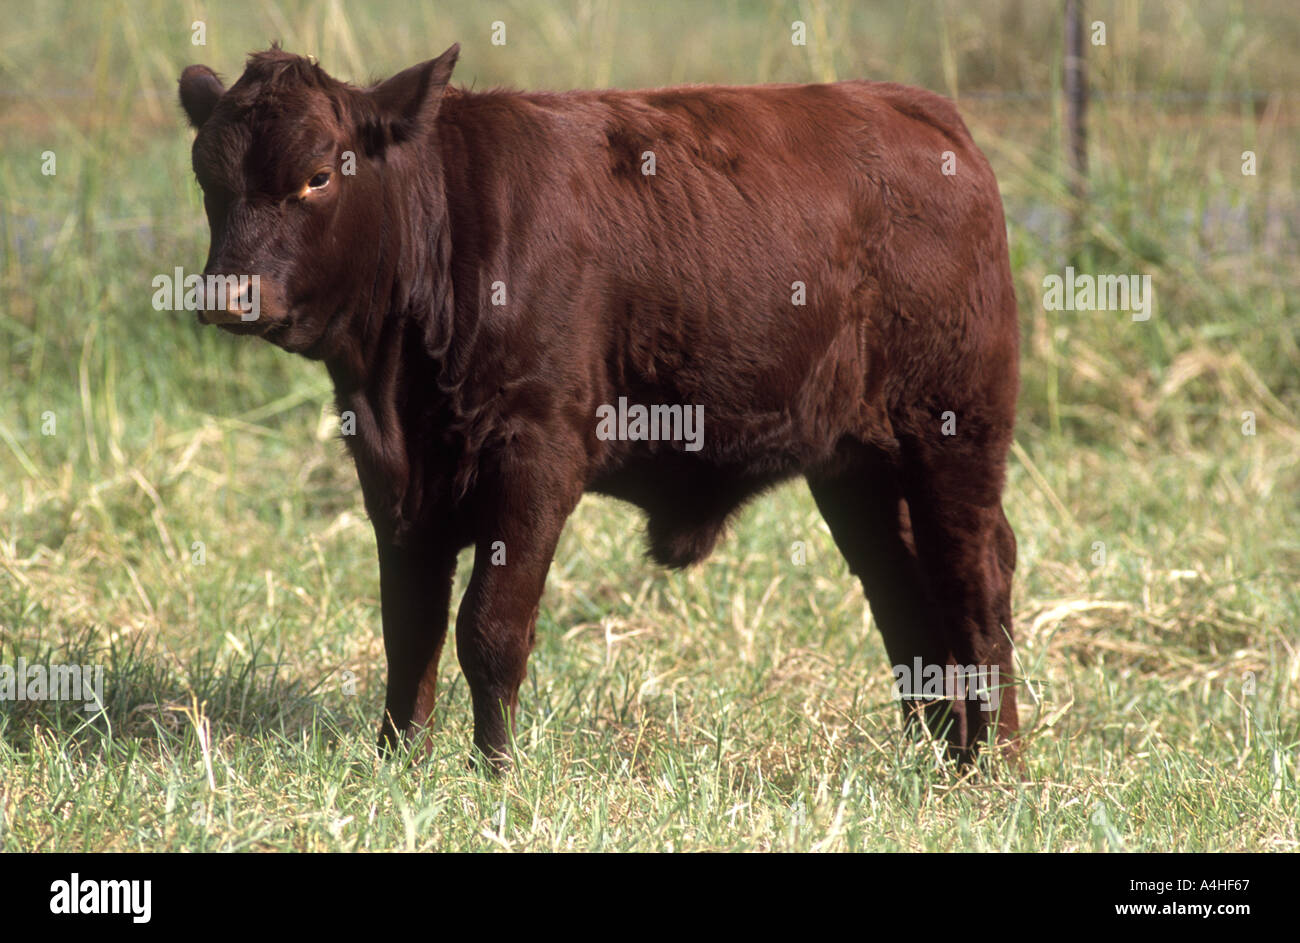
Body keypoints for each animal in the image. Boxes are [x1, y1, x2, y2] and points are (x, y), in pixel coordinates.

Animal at [178, 44, 1021, 770]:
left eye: (318, 176)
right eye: (208, 181)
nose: (228, 294)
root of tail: (914, 109)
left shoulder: (536, 455)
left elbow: (490, 627)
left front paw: (495, 771)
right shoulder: (394, 477)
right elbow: (408, 626)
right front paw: (398, 762)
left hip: (952, 433)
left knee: (976, 576)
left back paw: (993, 764)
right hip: (859, 466)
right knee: (903, 593)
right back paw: (935, 752)